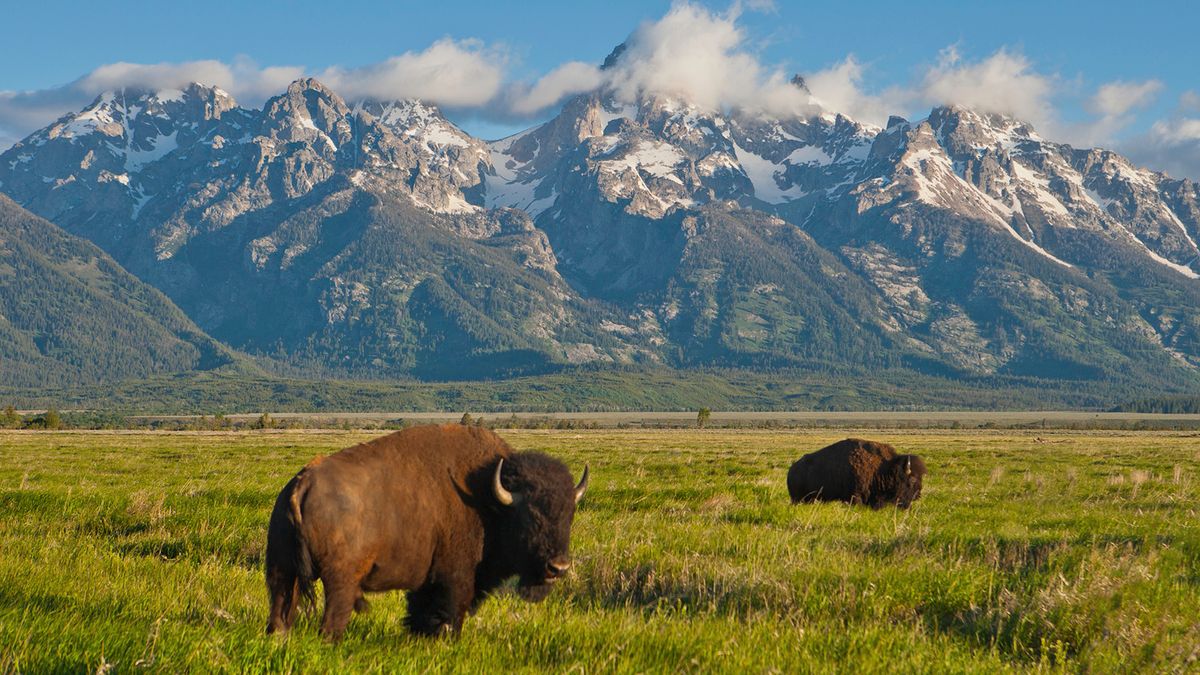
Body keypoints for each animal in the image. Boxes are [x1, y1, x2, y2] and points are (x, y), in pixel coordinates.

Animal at [265, 424, 589, 639]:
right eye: (531, 516)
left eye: (568, 515)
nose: (558, 567)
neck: (488, 497)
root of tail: (302, 483)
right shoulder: (457, 577)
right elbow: (452, 611)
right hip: (340, 579)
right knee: (331, 619)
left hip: (282, 571)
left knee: (280, 611)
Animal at [787, 438, 925, 508]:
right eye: (912, 479)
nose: (918, 495)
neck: (884, 468)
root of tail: (791, 470)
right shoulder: (855, 496)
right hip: (798, 499)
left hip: (808, 499)